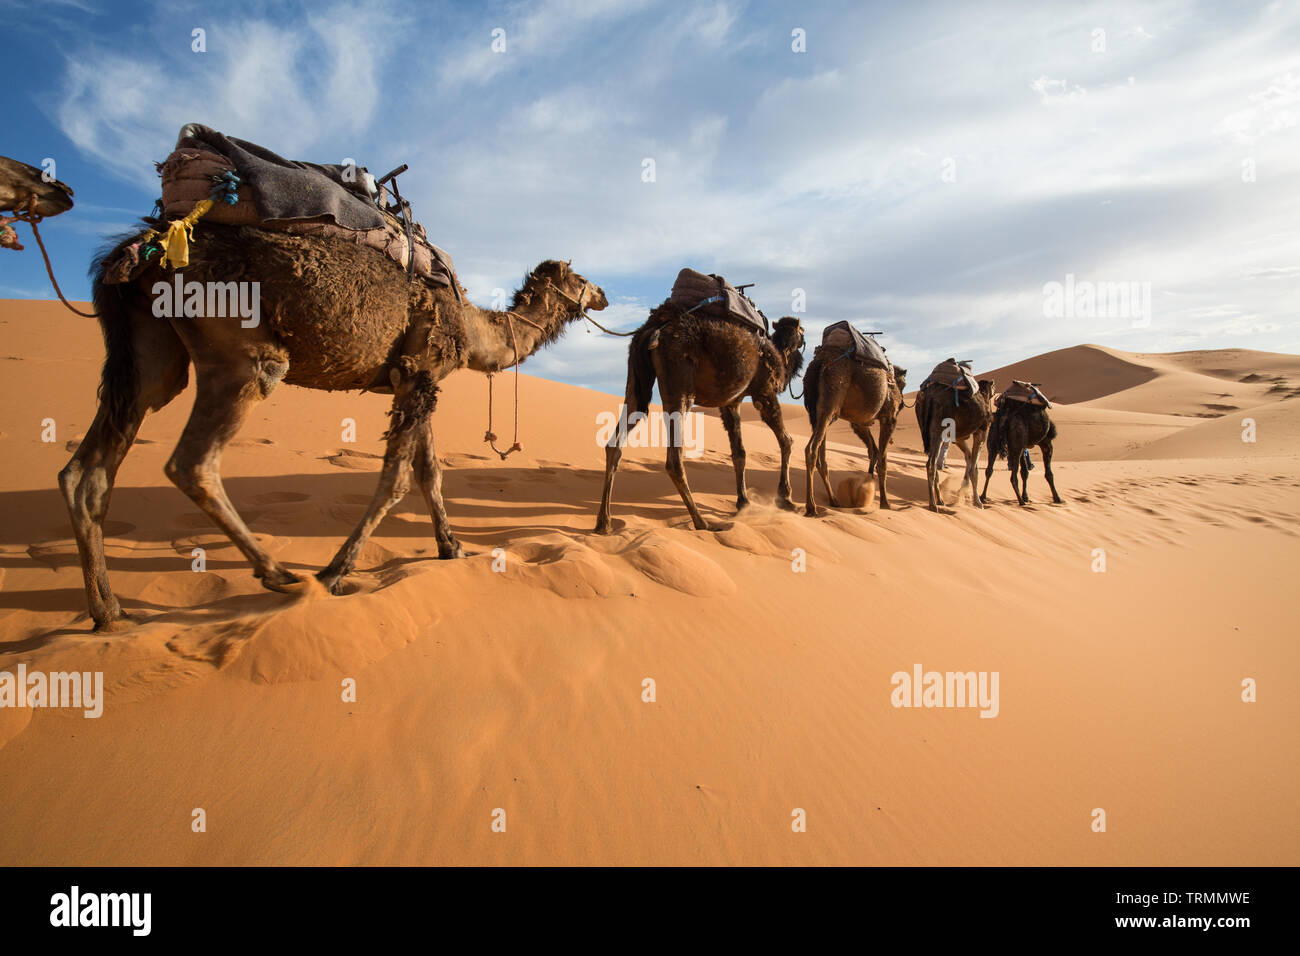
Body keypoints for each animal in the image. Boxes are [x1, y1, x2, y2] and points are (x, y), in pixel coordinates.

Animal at [62, 223, 607, 630]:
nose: (603, 294)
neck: (474, 330)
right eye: (580, 277)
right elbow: (397, 480)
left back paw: (108, 611)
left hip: (151, 352)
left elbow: (430, 473)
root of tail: (141, 251)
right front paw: (335, 571)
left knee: (84, 472)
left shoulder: (417, 378)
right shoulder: (420, 369)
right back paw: (279, 574)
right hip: (239, 351)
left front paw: (451, 547)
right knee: (192, 461)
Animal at [594, 305, 804, 533]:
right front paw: (786, 499)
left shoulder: (731, 402)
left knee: (618, 439)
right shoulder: (763, 391)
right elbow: (786, 440)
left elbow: (739, 452)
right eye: (802, 335)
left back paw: (603, 522)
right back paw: (701, 521)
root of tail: (653, 329)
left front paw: (744, 503)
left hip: (636, 378)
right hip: (680, 381)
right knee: (674, 459)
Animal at [802, 350, 907, 514]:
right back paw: (811, 507)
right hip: (830, 403)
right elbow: (882, 461)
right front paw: (885, 503)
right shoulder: (888, 419)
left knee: (821, 458)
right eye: (904, 384)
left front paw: (868, 485)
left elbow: (873, 451)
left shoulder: (859, 422)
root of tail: (818, 363)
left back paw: (833, 500)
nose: (901, 404)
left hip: (818, 412)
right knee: (811, 450)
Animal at [914, 377, 995, 511]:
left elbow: (969, 457)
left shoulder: (958, 438)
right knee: (931, 464)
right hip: (939, 428)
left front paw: (965, 492)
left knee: (933, 463)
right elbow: (974, 469)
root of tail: (928, 396)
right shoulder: (981, 432)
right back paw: (933, 504)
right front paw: (978, 502)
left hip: (927, 431)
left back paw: (940, 500)